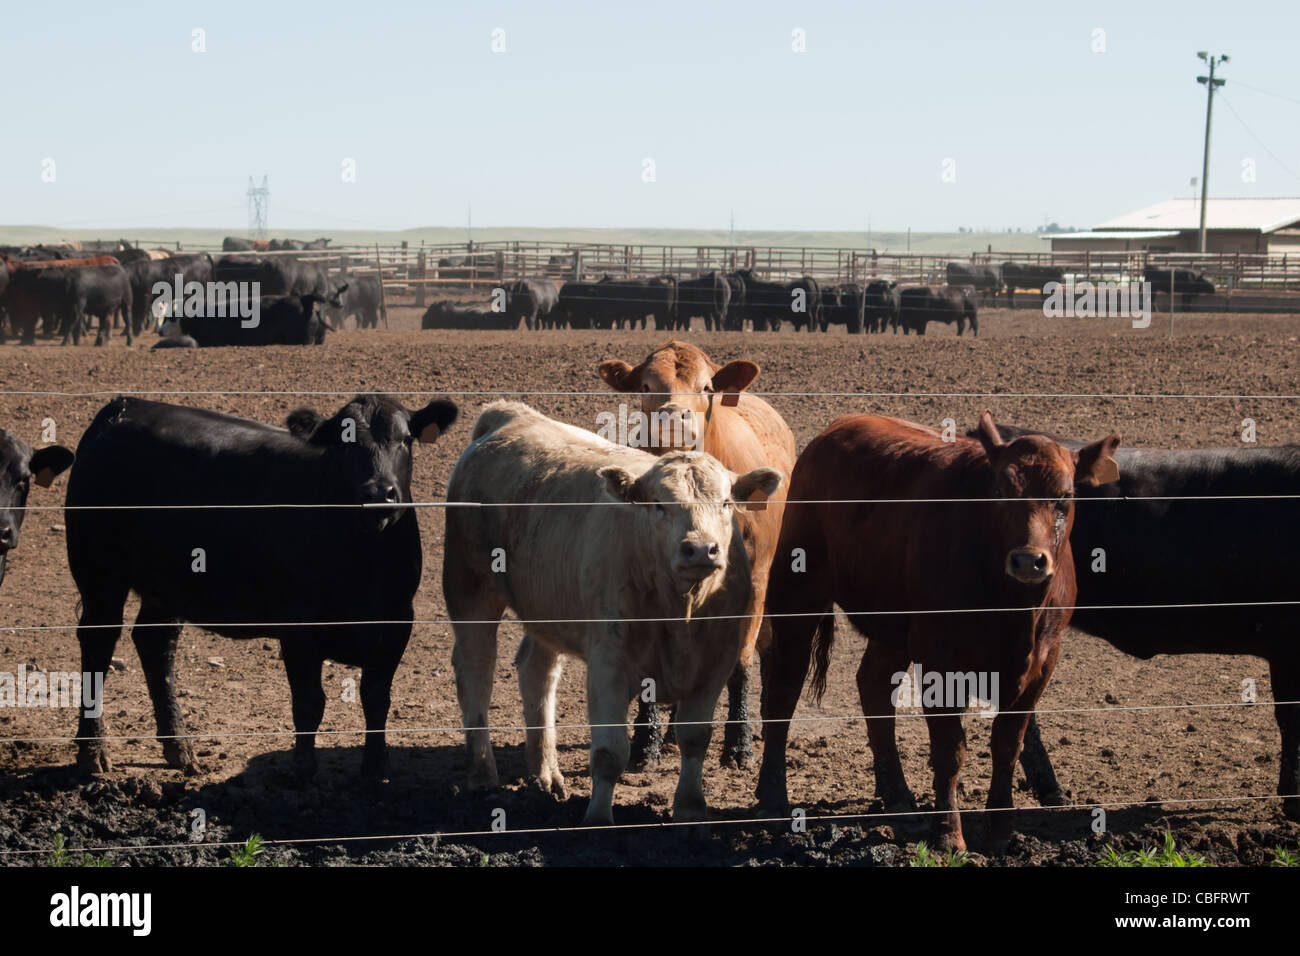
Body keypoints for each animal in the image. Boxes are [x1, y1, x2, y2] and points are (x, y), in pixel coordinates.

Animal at [63, 393, 459, 778]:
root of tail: (122, 406)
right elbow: (309, 702)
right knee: (98, 644)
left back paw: (178, 748)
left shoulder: (396, 622)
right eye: (344, 444)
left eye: (405, 439)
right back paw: (92, 753)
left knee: (155, 644)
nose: (378, 494)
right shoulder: (298, 627)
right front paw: (303, 770)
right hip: (100, 573)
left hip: (166, 584)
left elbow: (376, 697)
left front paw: (376, 769)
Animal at [443, 401, 782, 824]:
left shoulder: (714, 665)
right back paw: (482, 772)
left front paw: (691, 809)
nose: (701, 549)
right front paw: (598, 818)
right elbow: (609, 753)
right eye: (660, 505)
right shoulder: (609, 665)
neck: (679, 614)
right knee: (476, 672)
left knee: (536, 671)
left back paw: (546, 773)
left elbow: (694, 739)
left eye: (726, 503)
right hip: (468, 586)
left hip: (549, 608)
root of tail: (509, 416)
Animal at [756, 412, 1122, 852]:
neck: (1013, 607)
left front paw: (1000, 832)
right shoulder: (940, 657)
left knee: (873, 684)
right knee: (784, 690)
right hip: (799, 592)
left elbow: (1007, 744)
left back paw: (899, 798)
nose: (1027, 561)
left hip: (893, 627)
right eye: (999, 490)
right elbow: (950, 748)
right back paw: (773, 799)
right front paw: (949, 834)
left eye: (1065, 496)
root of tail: (838, 427)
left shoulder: (1043, 661)